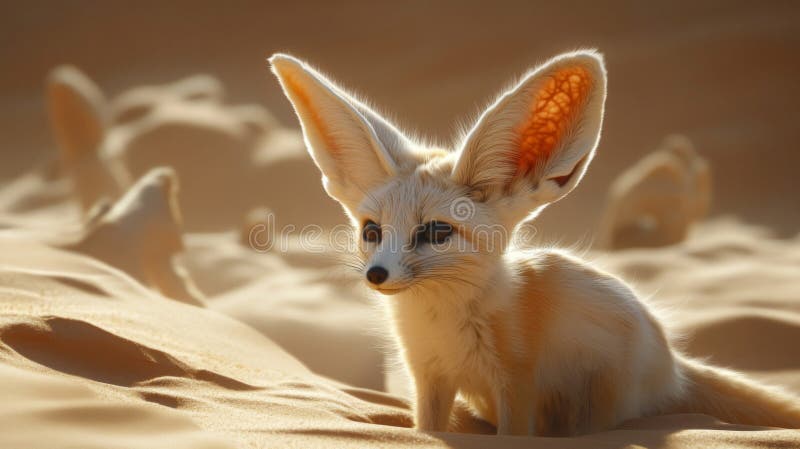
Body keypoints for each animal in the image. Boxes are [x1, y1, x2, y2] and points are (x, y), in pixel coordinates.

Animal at [269, 50, 800, 436]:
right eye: (371, 231)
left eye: (436, 232)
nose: (376, 274)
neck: (443, 323)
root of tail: (674, 365)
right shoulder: (428, 378)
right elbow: (426, 430)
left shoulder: (516, 381)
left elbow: (514, 434)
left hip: (597, 402)